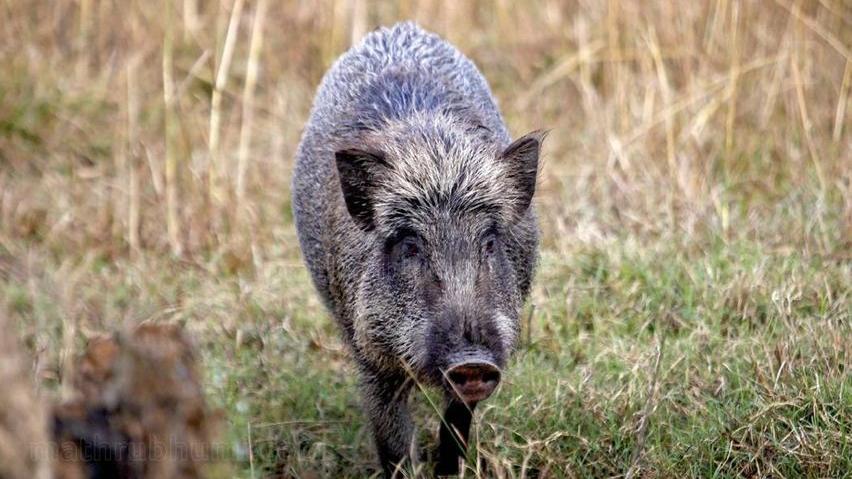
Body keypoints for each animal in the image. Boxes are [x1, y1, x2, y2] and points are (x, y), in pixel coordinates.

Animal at [292, 22, 542, 476]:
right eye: (410, 245)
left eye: (490, 241)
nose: (472, 360)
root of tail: (399, 27)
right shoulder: (369, 354)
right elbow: (391, 440)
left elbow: (456, 428)